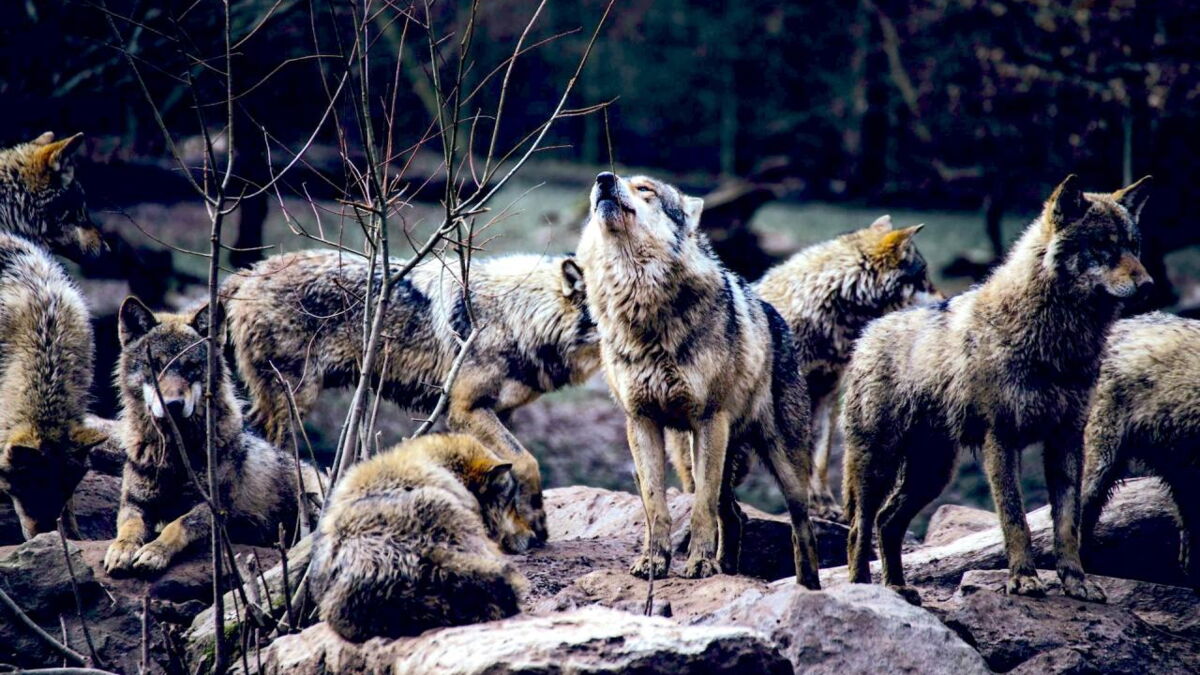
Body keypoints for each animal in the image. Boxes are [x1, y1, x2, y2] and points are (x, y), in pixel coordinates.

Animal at [103, 297, 324, 575]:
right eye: (155, 365)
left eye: (192, 367)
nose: (173, 405)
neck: (176, 454)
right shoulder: (134, 503)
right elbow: (129, 527)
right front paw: (121, 549)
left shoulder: (215, 508)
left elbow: (176, 525)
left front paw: (154, 551)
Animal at [222, 251, 600, 549]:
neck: (516, 316)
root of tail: (248, 272)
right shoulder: (465, 410)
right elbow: (526, 461)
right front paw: (536, 523)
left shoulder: (499, 412)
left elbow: (508, 468)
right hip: (294, 401)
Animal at [575, 171, 820, 587]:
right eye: (611, 181)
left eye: (646, 189)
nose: (604, 178)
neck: (641, 307)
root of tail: (776, 314)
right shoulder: (641, 422)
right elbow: (655, 505)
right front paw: (653, 562)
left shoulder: (708, 420)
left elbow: (700, 509)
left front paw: (701, 565)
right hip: (691, 456)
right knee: (735, 515)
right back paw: (729, 569)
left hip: (782, 464)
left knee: (801, 529)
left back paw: (808, 587)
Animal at [841, 175, 1153, 605]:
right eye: (1102, 246)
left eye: (1134, 247)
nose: (1148, 285)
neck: (1056, 342)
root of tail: (870, 331)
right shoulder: (1000, 439)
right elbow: (1015, 518)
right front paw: (1023, 579)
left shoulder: (1067, 440)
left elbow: (1068, 524)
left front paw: (1076, 582)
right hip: (880, 465)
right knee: (860, 526)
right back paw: (863, 590)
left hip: (932, 473)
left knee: (888, 521)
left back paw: (899, 588)